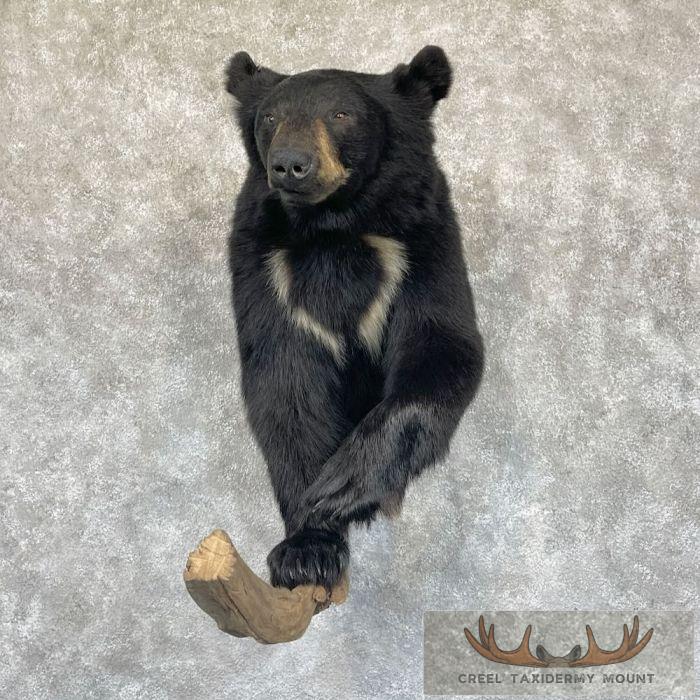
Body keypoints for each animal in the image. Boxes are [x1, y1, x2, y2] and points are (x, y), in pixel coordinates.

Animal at [225, 46, 484, 592]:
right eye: (270, 118)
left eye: (342, 114)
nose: (290, 165)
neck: (334, 224)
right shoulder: (266, 268)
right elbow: (285, 385)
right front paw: (307, 547)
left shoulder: (419, 246)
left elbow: (443, 346)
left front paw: (343, 484)